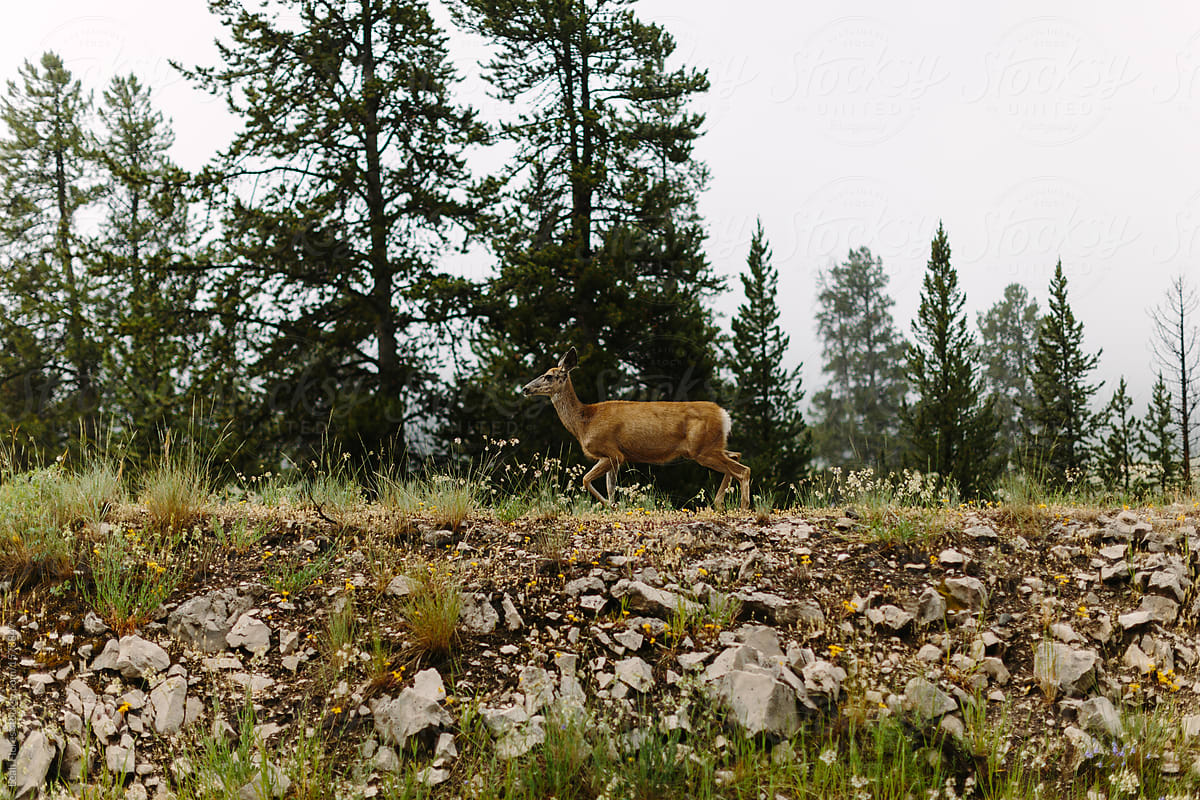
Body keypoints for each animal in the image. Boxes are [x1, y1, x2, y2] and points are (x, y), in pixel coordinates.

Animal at [521, 347, 751, 509]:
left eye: (549, 376)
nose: (525, 388)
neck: (584, 422)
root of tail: (724, 415)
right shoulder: (613, 458)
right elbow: (610, 487)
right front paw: (613, 506)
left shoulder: (612, 452)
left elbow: (586, 480)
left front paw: (610, 506)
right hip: (711, 446)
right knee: (736, 456)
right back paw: (719, 503)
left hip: (702, 450)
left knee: (743, 470)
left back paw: (742, 508)